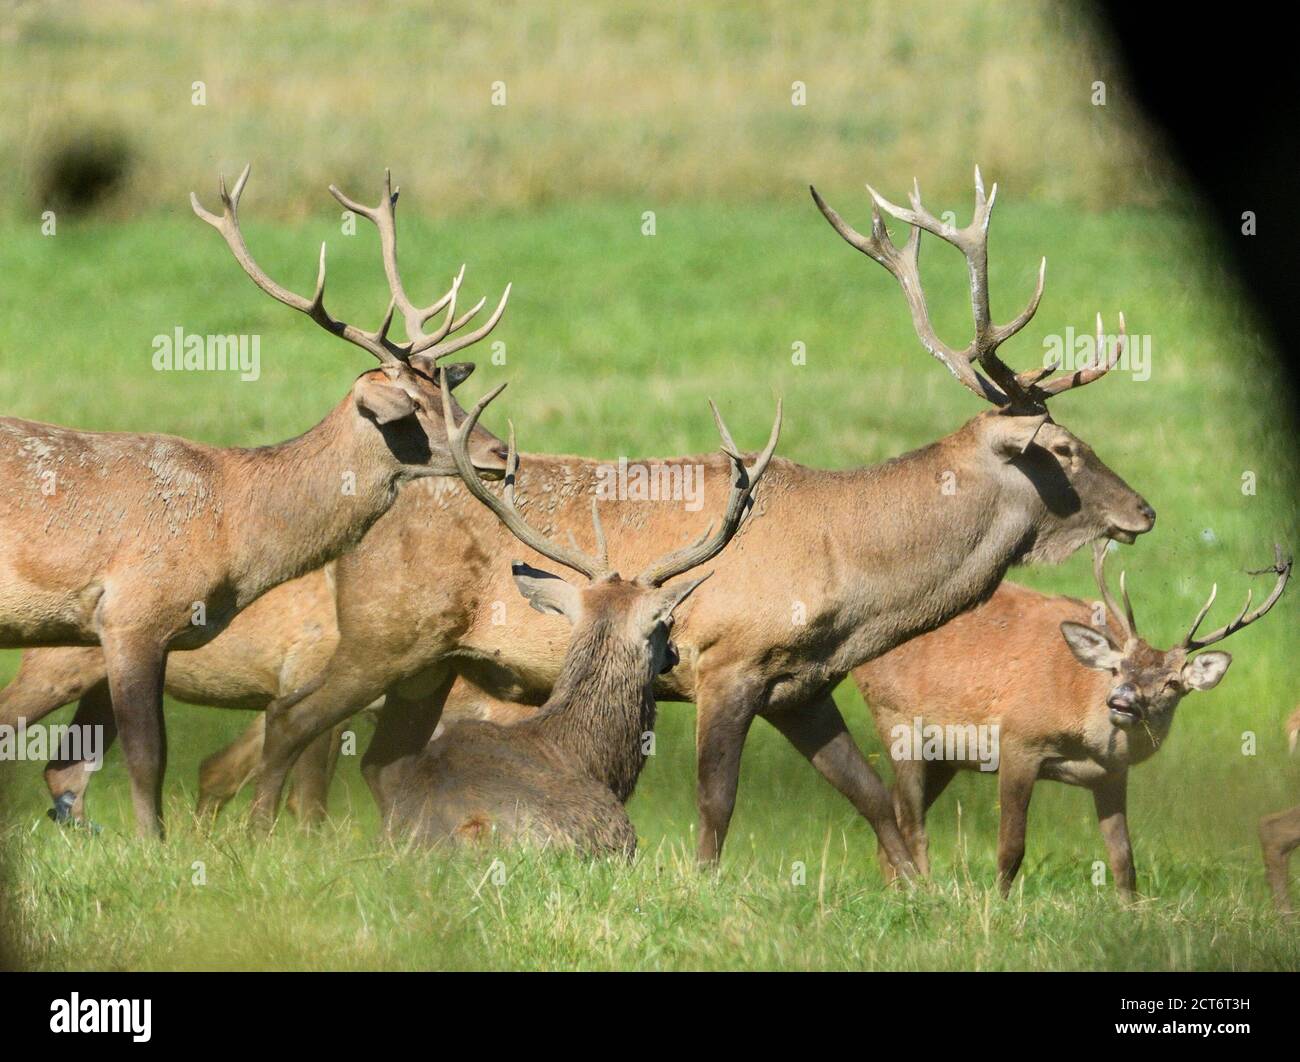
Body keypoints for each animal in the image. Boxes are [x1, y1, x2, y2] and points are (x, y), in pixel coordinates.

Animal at [0, 165, 510, 837]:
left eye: (451, 393)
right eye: (415, 409)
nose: (502, 454)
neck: (234, 531)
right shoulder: (133, 612)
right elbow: (149, 756)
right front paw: (155, 846)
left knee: (60, 768)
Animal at [851, 543, 1292, 899]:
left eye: (1172, 683)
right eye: (1116, 669)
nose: (1123, 701)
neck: (1085, 735)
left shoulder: (1112, 774)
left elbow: (1123, 858)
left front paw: (1132, 915)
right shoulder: (1018, 740)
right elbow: (1011, 845)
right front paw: (999, 905)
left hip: (946, 755)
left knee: (894, 811)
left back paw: (898, 892)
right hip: (895, 717)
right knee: (910, 819)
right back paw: (923, 892)